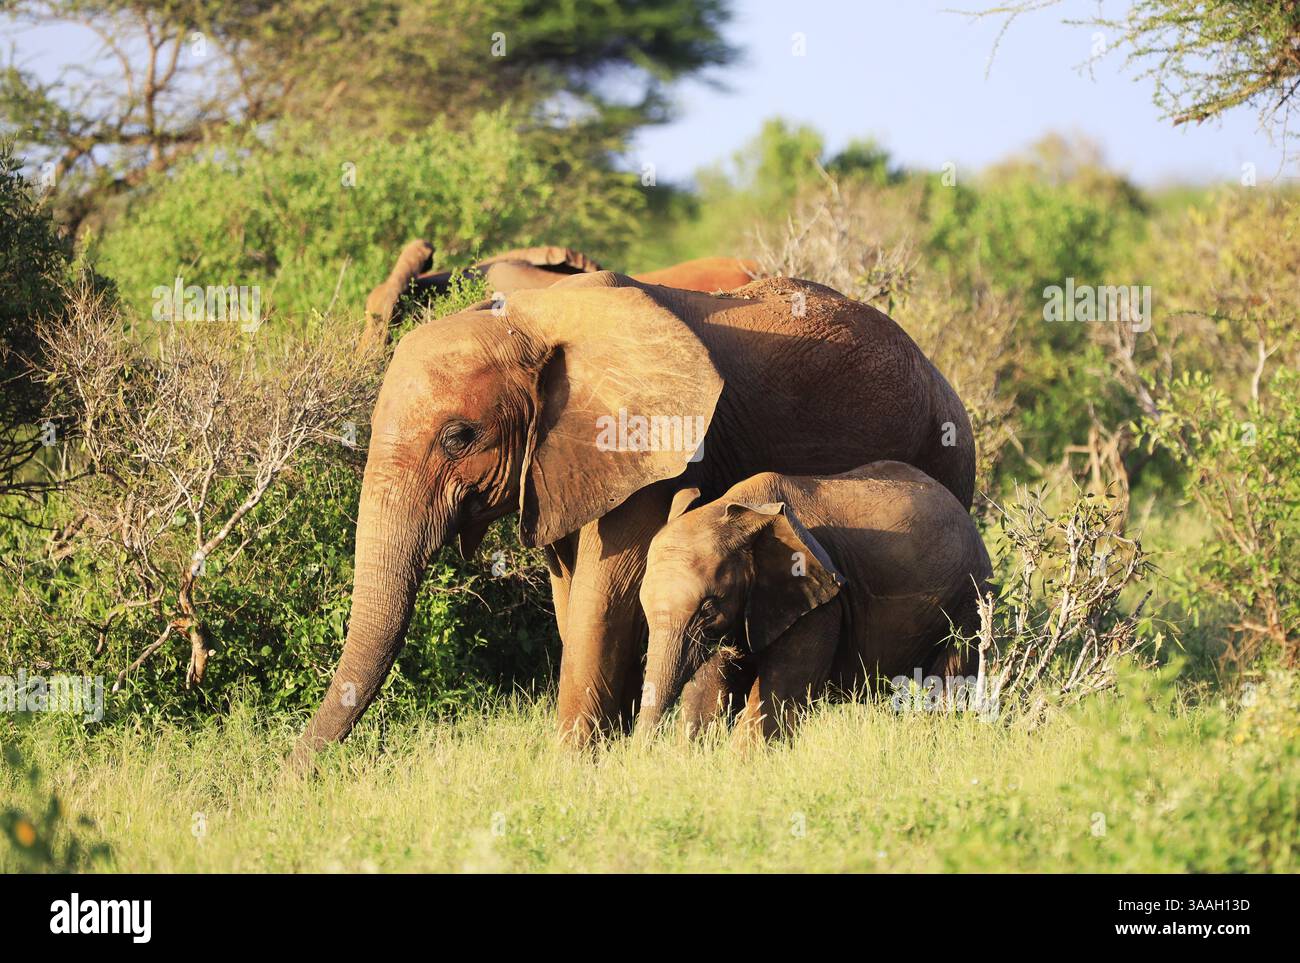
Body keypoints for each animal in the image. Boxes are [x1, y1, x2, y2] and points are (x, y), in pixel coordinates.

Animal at [634, 462, 993, 742]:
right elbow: (708, 694)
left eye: (708, 608)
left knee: (945, 686)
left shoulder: (821, 603)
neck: (742, 512)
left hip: (969, 602)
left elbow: (777, 700)